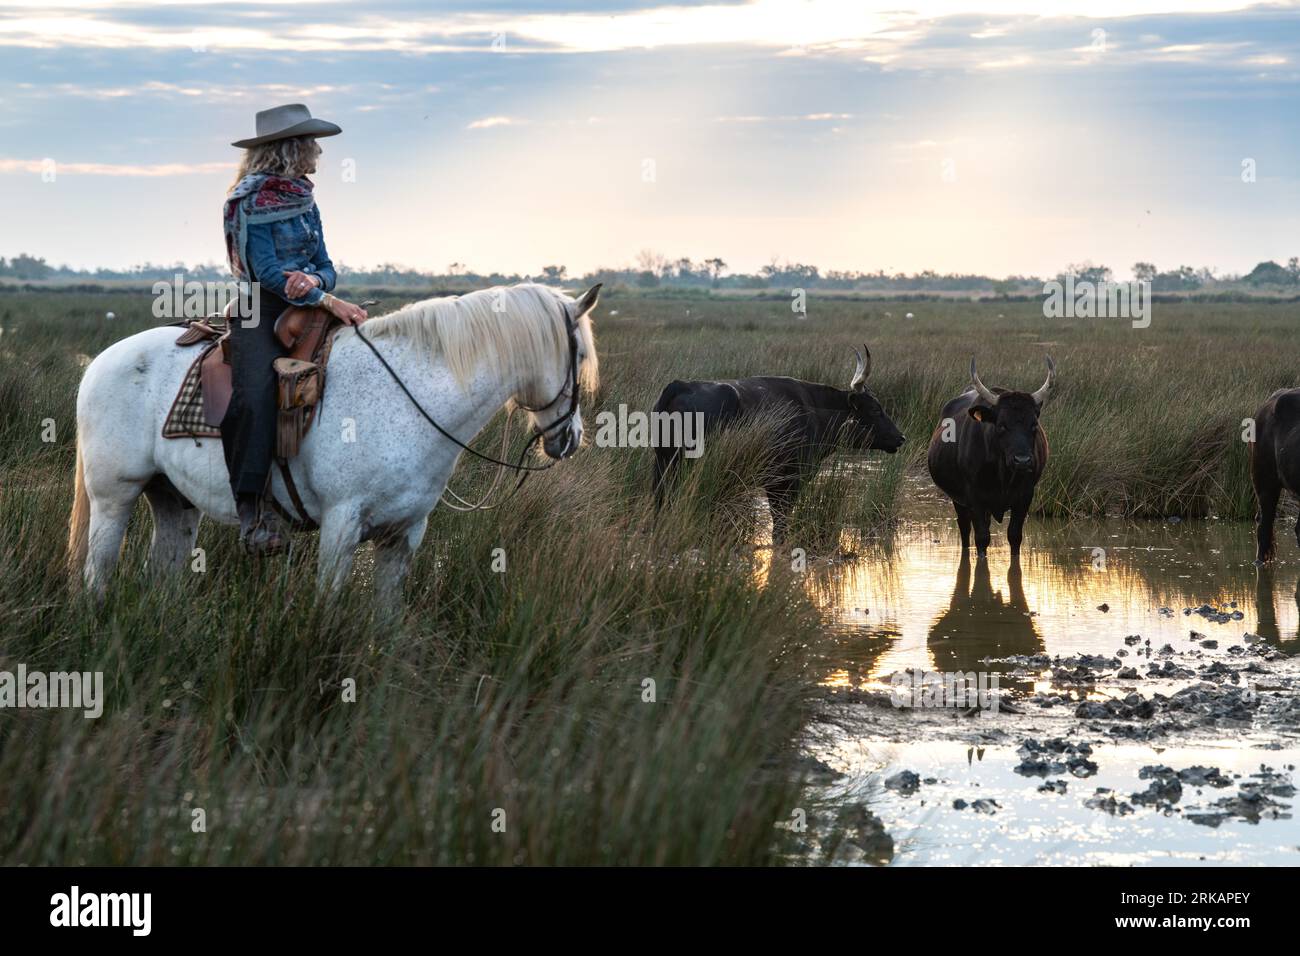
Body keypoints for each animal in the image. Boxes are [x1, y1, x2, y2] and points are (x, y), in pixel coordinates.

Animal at [652, 346, 906, 539]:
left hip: (663, 466)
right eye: (875, 409)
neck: (813, 410)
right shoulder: (788, 480)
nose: (901, 437)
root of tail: (682, 385)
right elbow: (781, 522)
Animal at [927, 356, 1055, 559]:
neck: (1003, 473)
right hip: (958, 500)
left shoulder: (1025, 496)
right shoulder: (975, 497)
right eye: (1001, 425)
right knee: (964, 528)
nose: (1023, 460)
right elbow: (982, 537)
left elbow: (1015, 536)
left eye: (1034, 424)